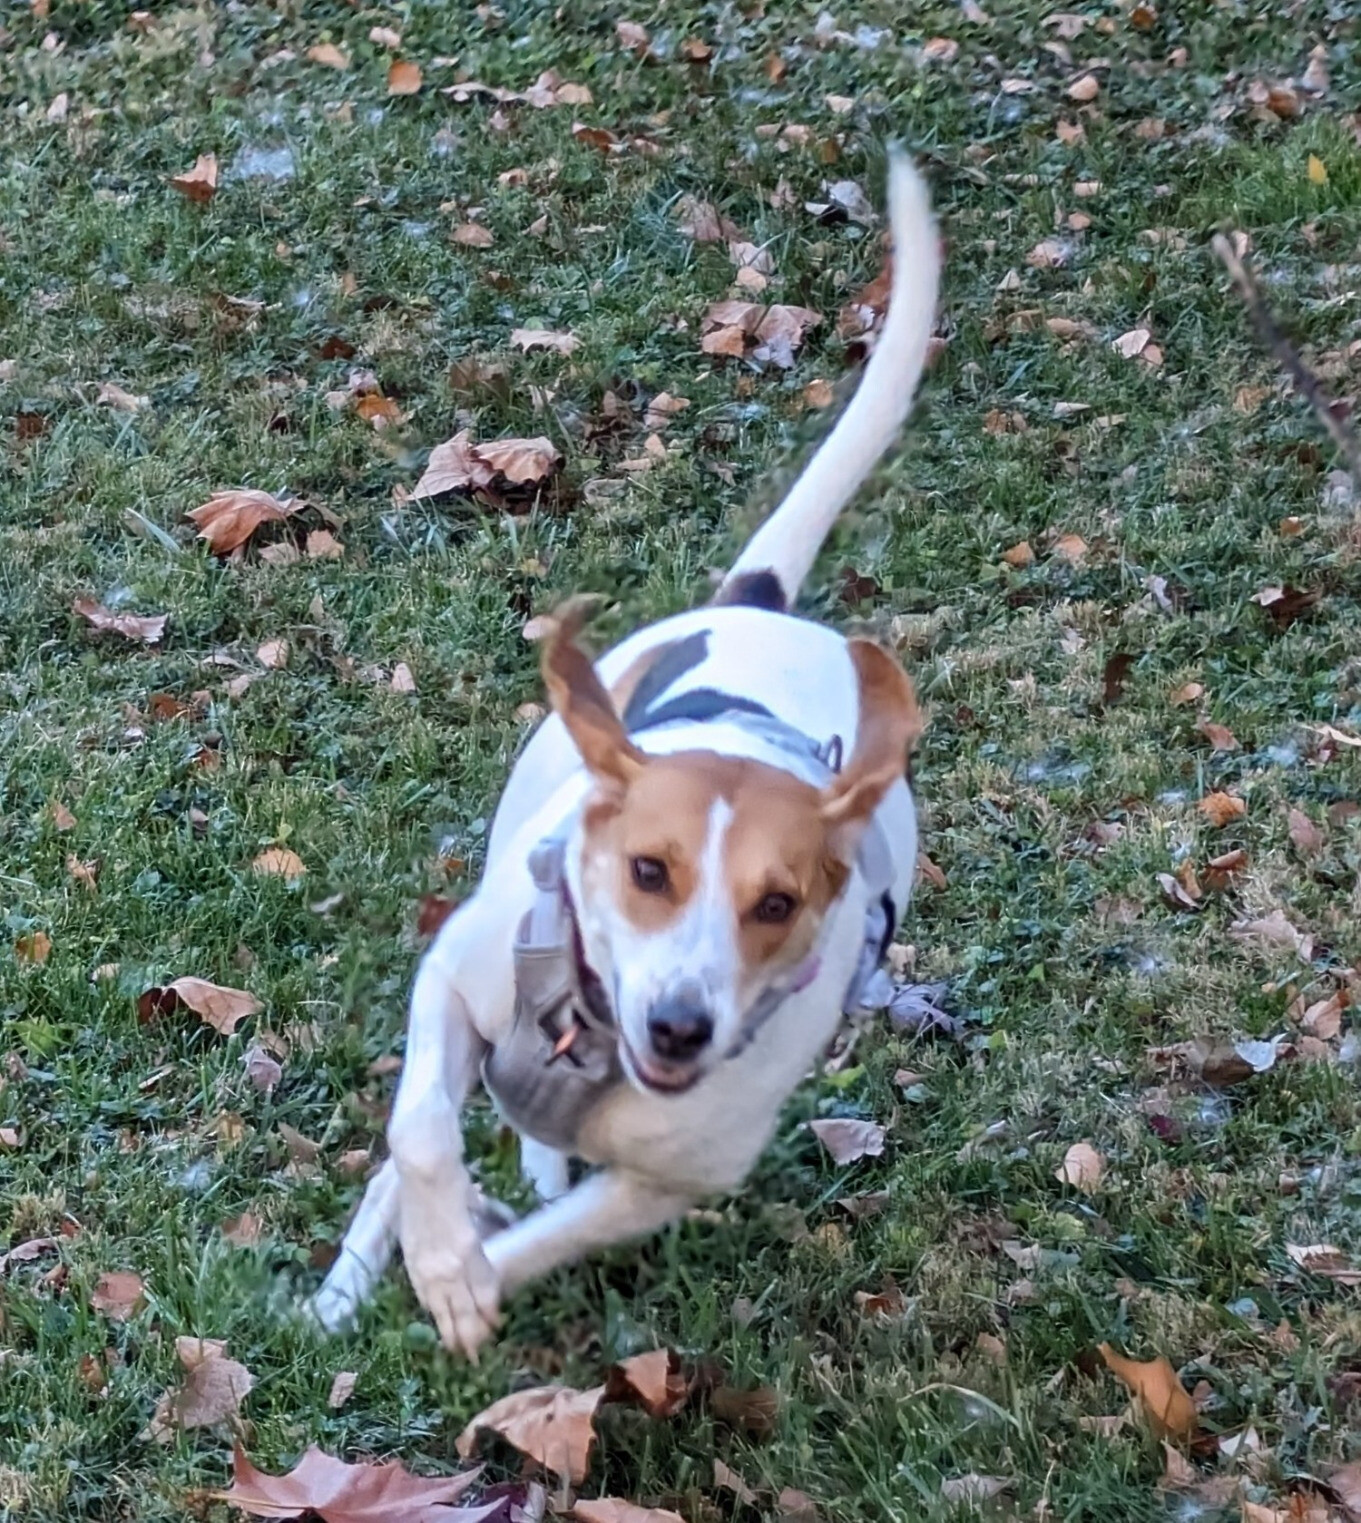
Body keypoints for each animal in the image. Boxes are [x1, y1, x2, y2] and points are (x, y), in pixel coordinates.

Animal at [313, 151, 943, 1358]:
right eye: (649, 870)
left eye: (777, 902)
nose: (680, 1024)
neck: (591, 1037)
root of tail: (762, 607)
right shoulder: (453, 976)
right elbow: (420, 1131)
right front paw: (436, 1252)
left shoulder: (669, 1180)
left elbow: (540, 1240)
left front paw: (465, 1274)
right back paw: (347, 1281)